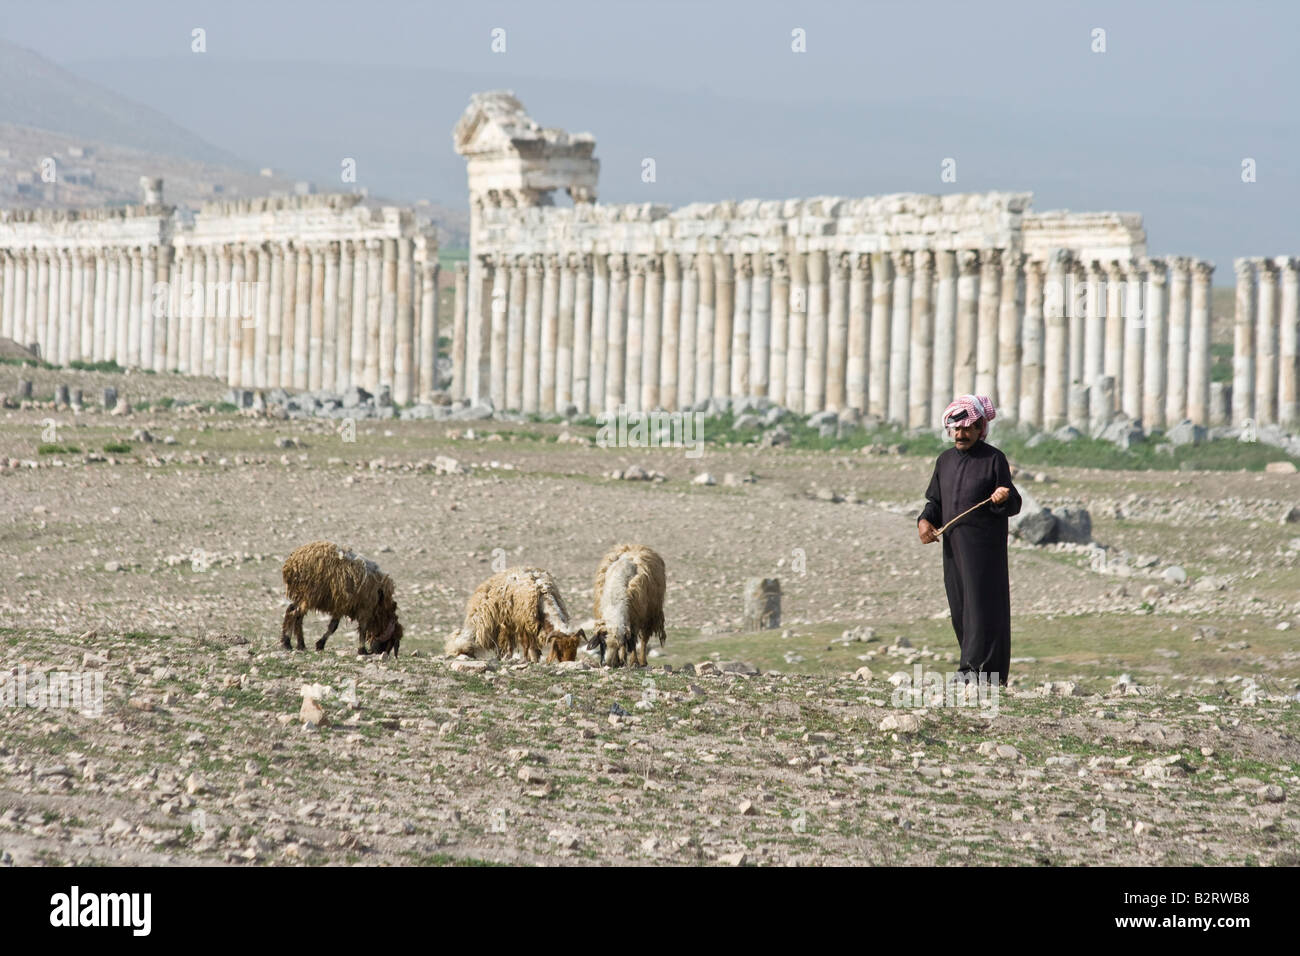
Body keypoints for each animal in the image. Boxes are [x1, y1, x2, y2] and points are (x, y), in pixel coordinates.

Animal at [443, 567, 585, 662]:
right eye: (559, 648)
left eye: (576, 647)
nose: (568, 662)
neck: (542, 595)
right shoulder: (523, 626)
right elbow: (528, 646)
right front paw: (530, 660)